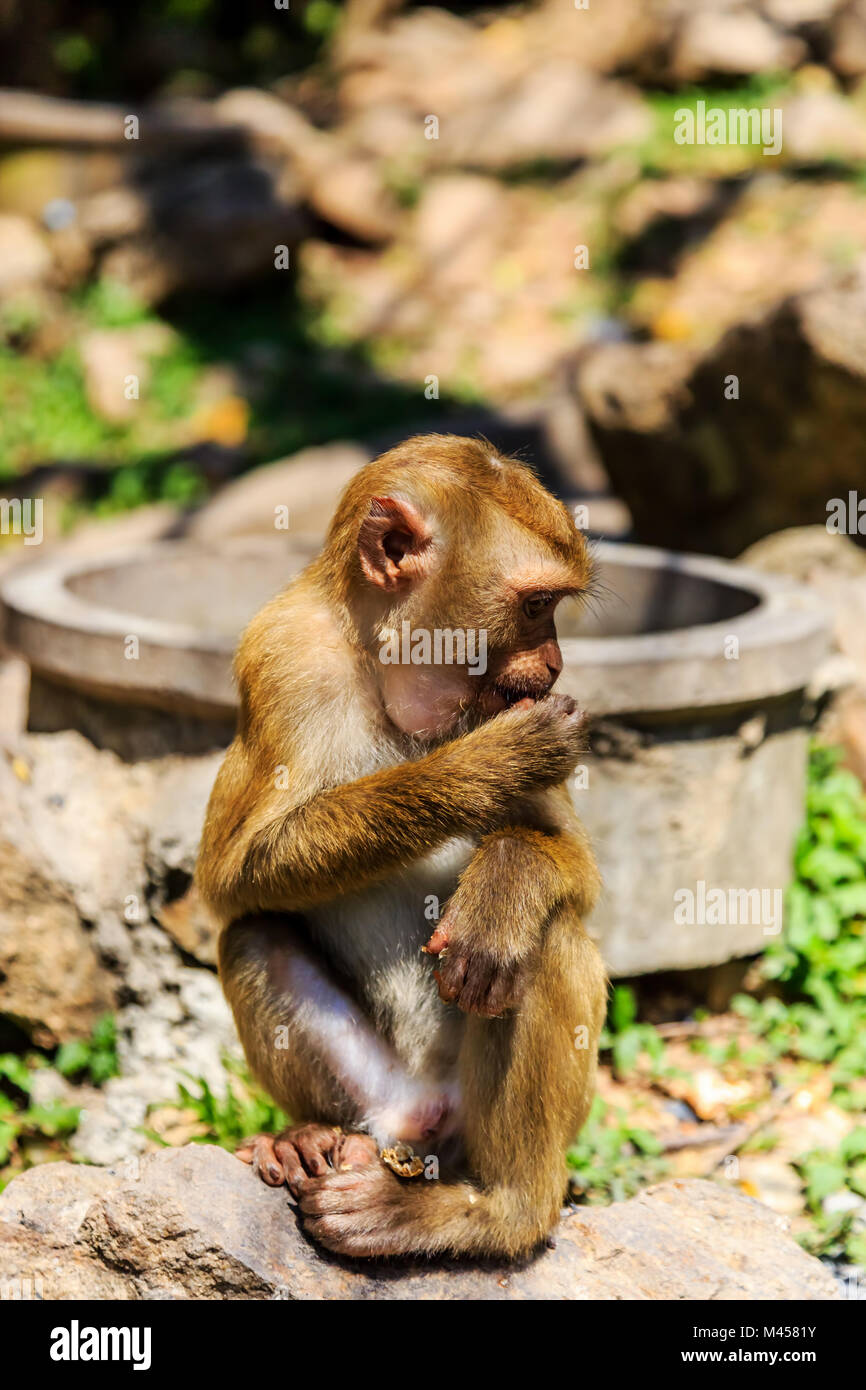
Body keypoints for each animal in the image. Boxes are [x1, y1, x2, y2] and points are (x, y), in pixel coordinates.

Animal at [195, 434, 607, 1260]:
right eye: (536, 606)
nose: (554, 667)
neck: (383, 673)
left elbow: (570, 872)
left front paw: (505, 883)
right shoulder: (282, 657)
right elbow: (231, 875)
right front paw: (486, 765)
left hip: (478, 1126)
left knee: (541, 940)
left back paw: (495, 1213)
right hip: (384, 1094)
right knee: (252, 933)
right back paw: (316, 1140)